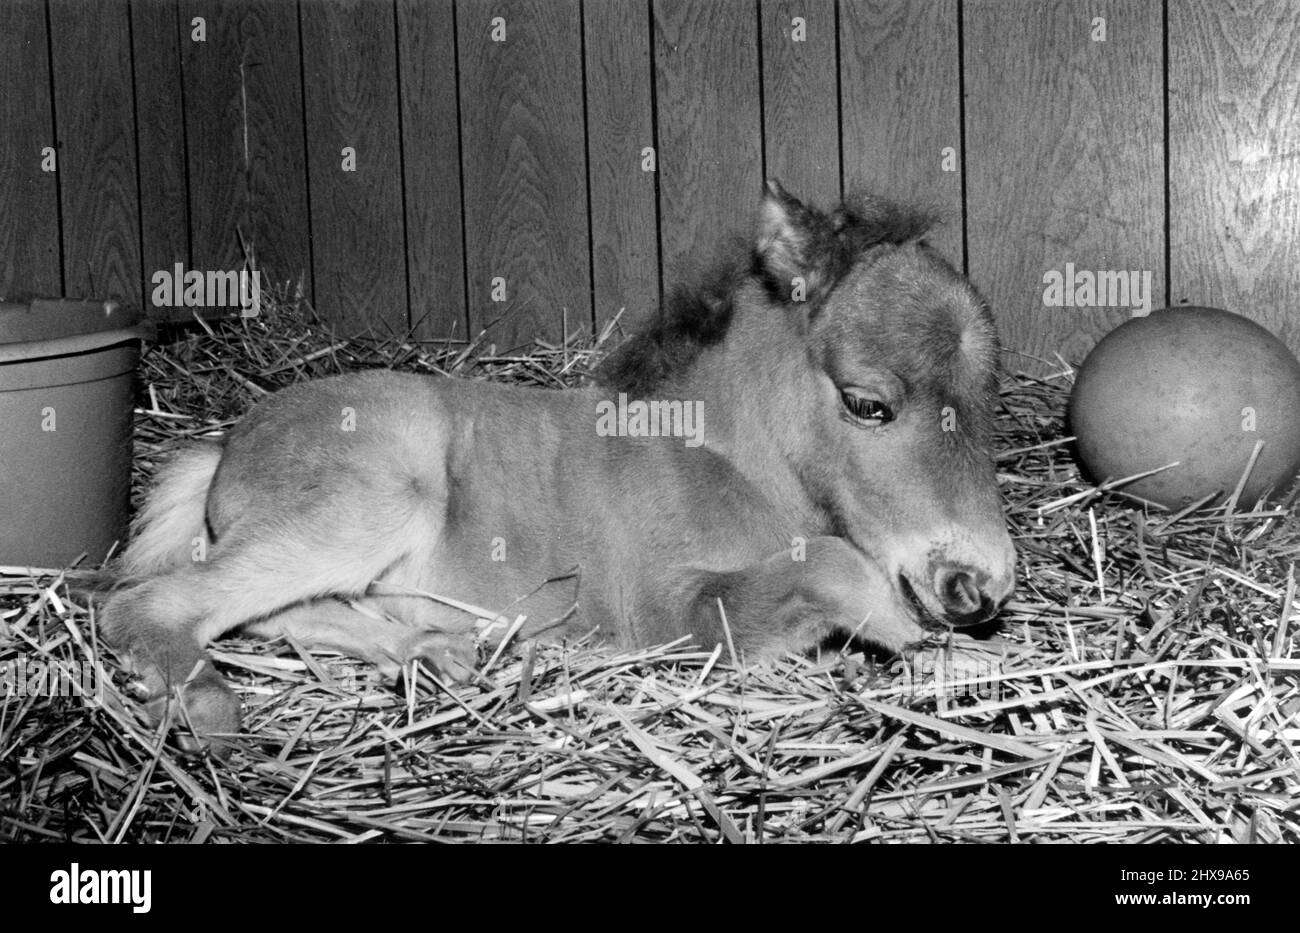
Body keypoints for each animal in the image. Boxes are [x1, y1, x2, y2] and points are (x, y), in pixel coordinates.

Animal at [101, 180, 1017, 743]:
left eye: (986, 398)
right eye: (868, 403)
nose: (978, 586)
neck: (719, 458)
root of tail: (225, 447)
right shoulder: (663, 616)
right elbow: (831, 563)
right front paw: (927, 645)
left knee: (274, 608)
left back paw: (431, 650)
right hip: (371, 501)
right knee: (160, 602)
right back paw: (207, 704)